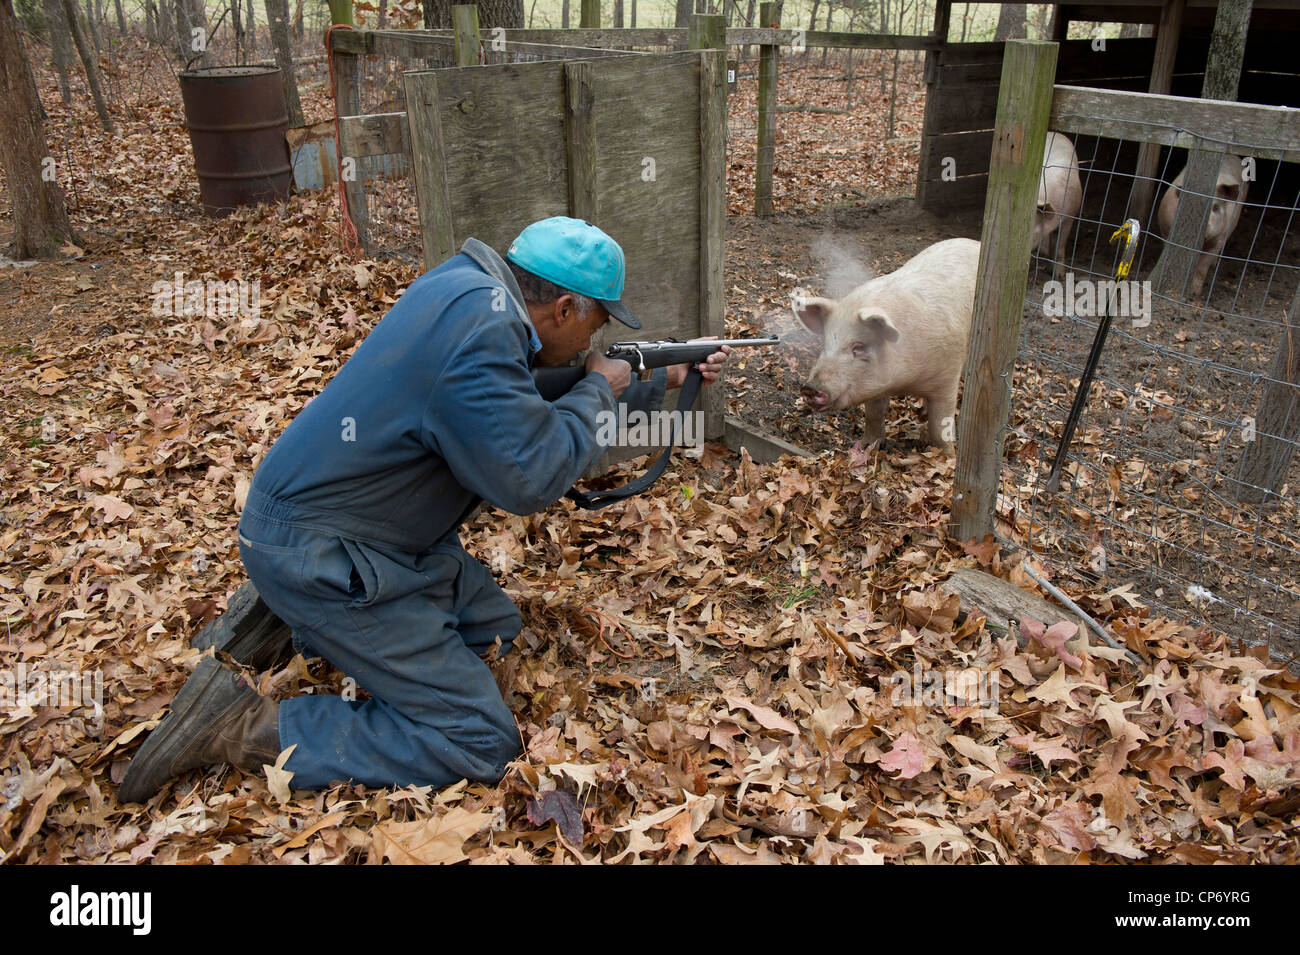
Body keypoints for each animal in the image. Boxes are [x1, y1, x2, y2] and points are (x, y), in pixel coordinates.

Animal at [795, 237, 981, 453]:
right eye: (825, 343)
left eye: (858, 347)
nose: (810, 388)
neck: (905, 382)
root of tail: (974, 242)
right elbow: (874, 415)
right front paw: (867, 446)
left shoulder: (947, 378)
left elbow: (940, 428)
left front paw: (948, 456)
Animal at [1157, 154, 1249, 297]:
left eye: (1215, 207)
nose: (1204, 228)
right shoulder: (1165, 229)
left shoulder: (1219, 239)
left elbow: (1202, 266)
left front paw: (1194, 293)